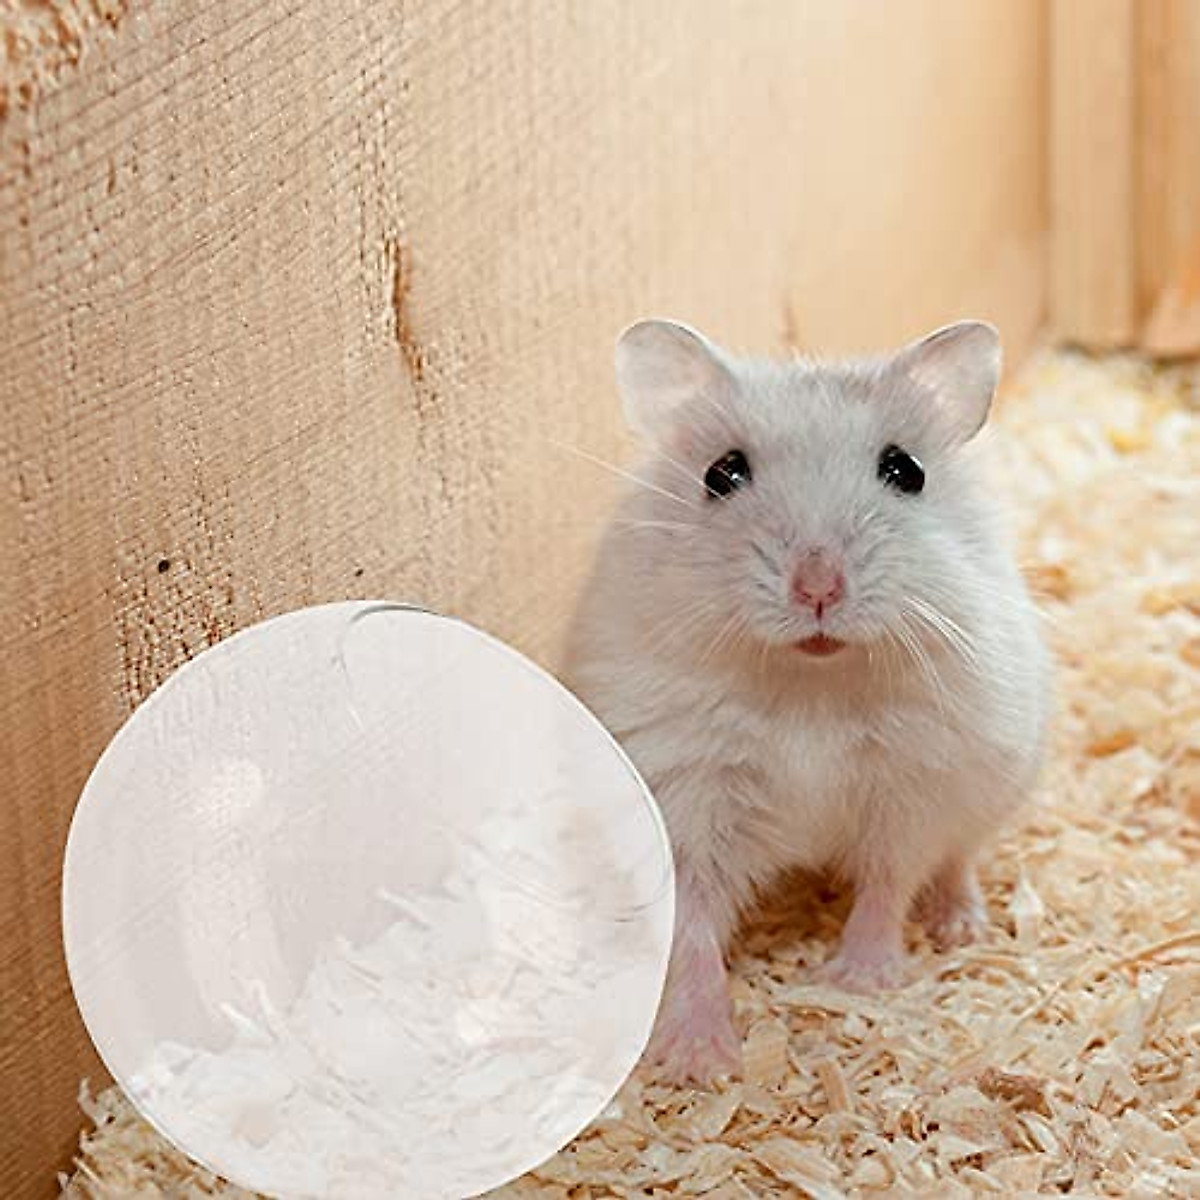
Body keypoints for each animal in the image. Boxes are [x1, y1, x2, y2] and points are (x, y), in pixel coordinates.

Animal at [563, 318, 1050, 1086]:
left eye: (905, 470)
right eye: (722, 474)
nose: (818, 587)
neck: (810, 686)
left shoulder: (913, 788)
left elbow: (888, 881)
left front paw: (859, 981)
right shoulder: (686, 793)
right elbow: (691, 923)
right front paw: (700, 1063)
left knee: (956, 859)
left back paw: (959, 926)